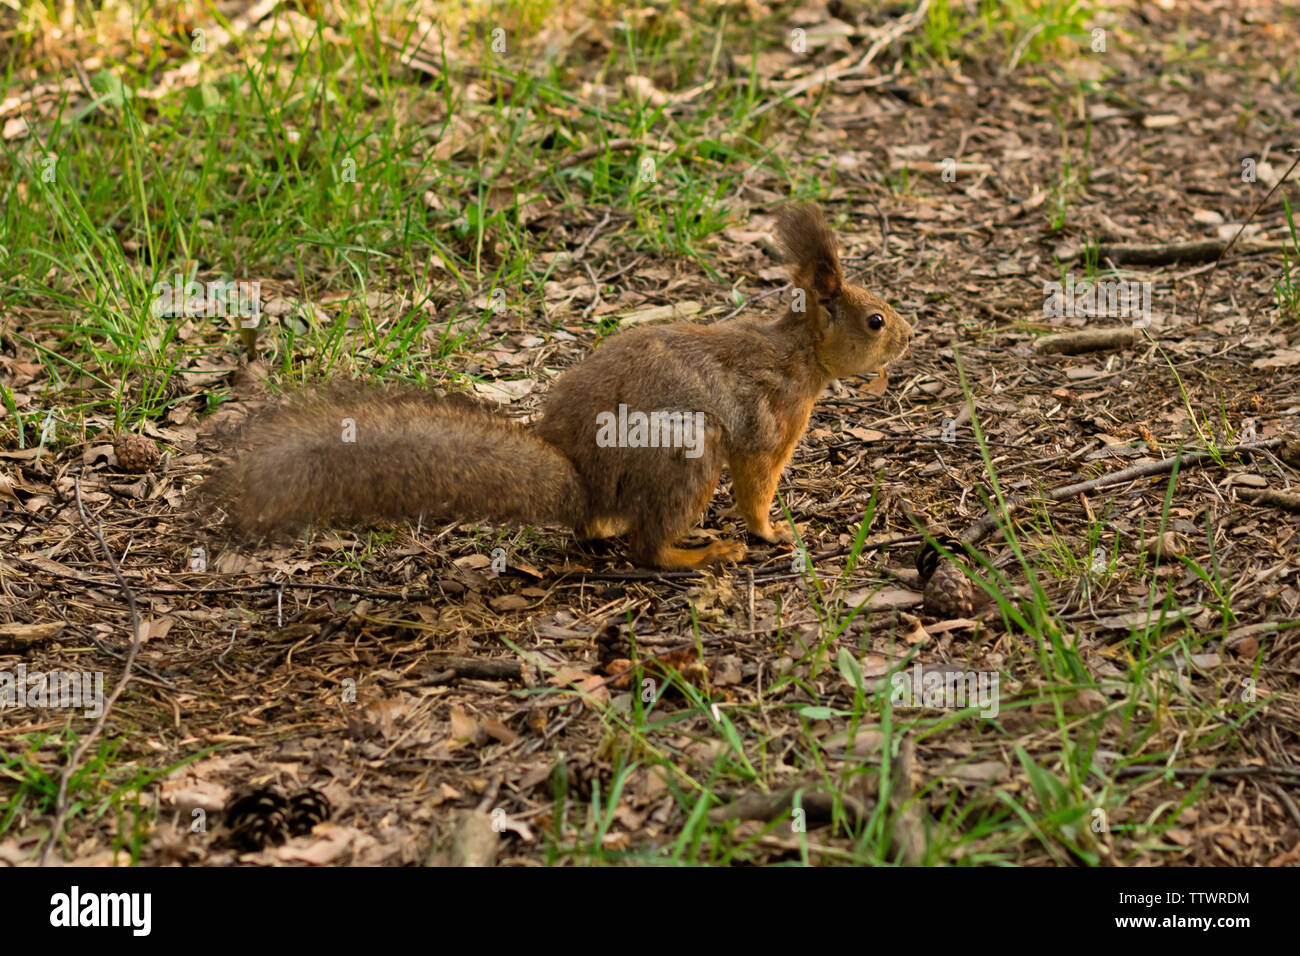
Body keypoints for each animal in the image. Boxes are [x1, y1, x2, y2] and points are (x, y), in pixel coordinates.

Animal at [202, 204, 912, 570]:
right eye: (874, 320)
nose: (909, 336)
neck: (799, 353)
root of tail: (583, 481)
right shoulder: (769, 422)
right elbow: (757, 486)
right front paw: (771, 533)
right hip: (686, 453)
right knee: (646, 547)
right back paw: (699, 553)